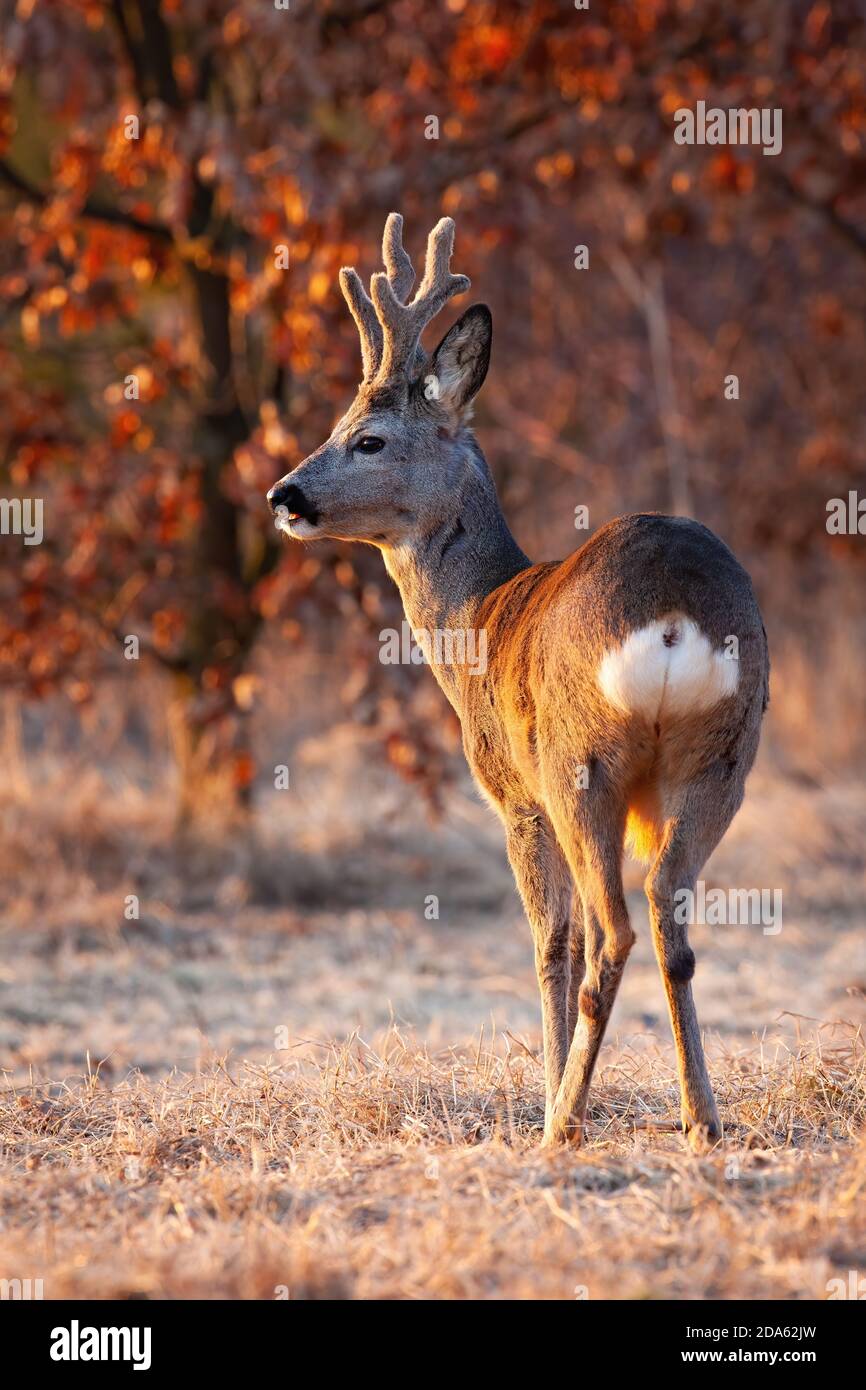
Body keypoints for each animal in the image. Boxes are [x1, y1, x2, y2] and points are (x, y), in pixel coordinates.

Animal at [267, 214, 770, 1152]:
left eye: (367, 437)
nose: (284, 495)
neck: (481, 613)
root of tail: (673, 616)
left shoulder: (513, 796)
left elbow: (550, 944)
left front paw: (549, 1097)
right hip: (723, 757)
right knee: (669, 921)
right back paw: (701, 1120)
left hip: (579, 764)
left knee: (608, 934)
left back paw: (561, 1123)